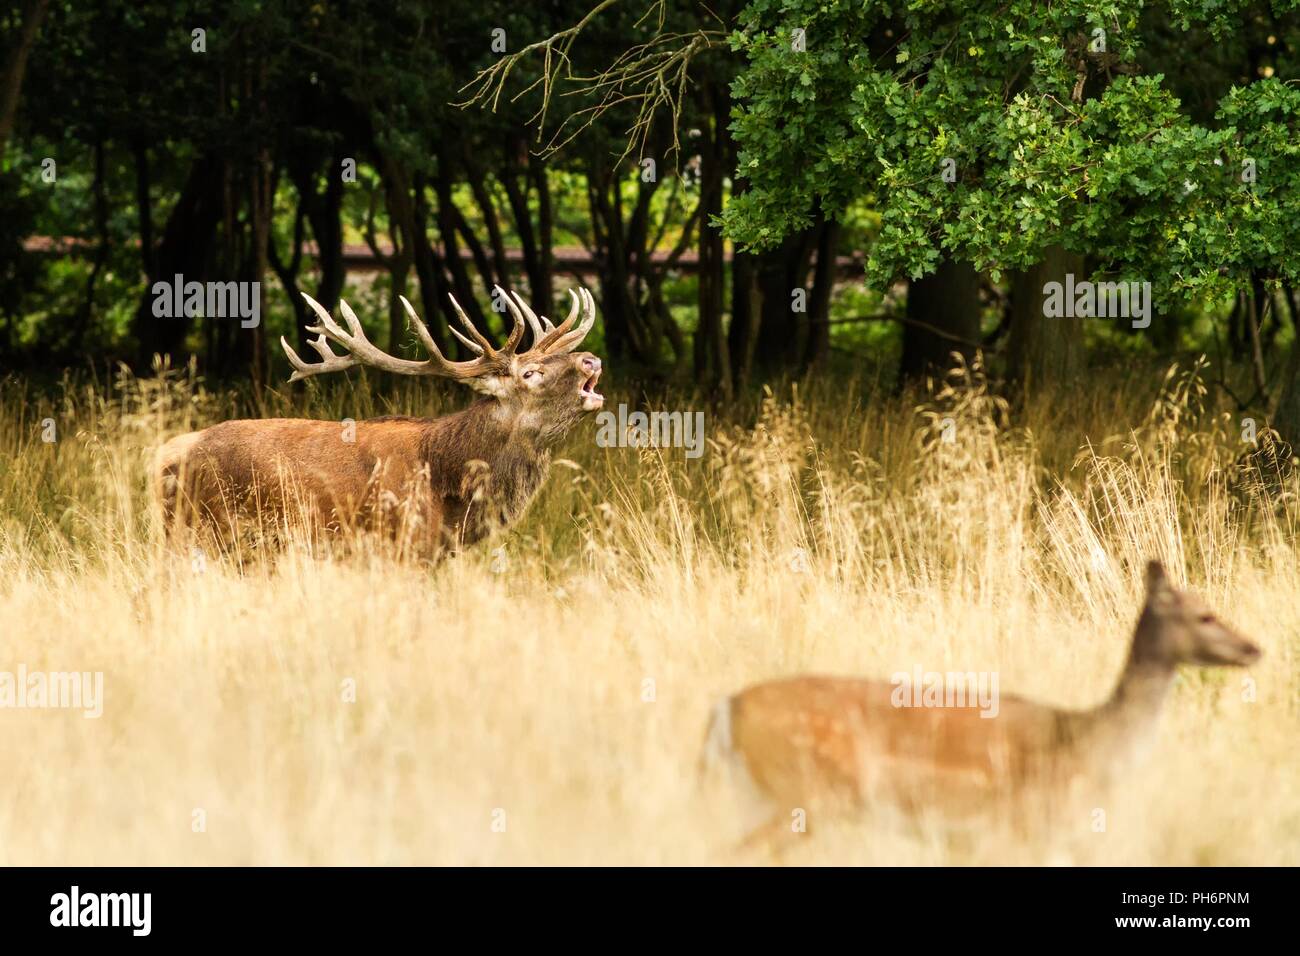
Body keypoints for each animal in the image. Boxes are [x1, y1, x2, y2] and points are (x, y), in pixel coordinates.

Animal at [701, 561, 1261, 848]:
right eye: (1205, 615)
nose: (1253, 647)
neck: (1089, 744)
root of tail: (726, 710)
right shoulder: (1026, 827)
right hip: (807, 794)